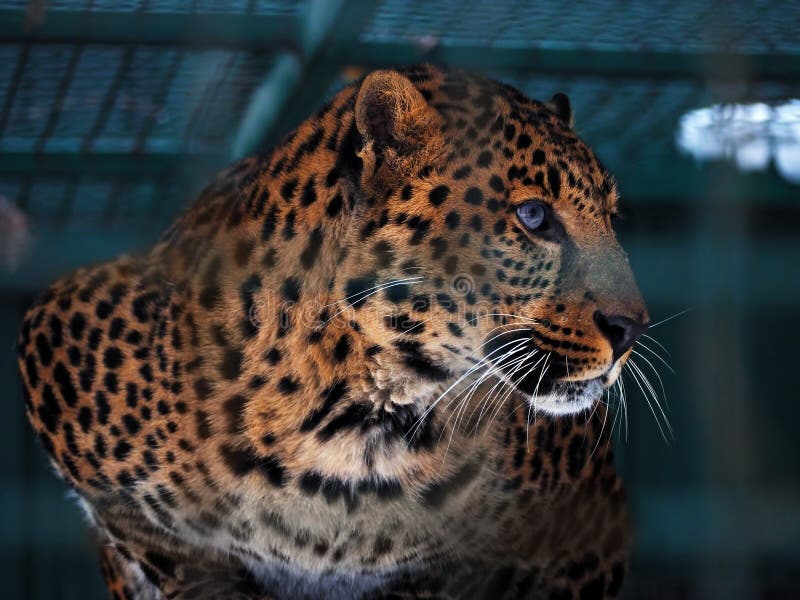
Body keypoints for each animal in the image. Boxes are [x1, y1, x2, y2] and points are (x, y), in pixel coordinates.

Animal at [17, 64, 648, 599]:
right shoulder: (57, 336)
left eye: (611, 218)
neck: (358, 417)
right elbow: (163, 549)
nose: (631, 328)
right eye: (534, 216)